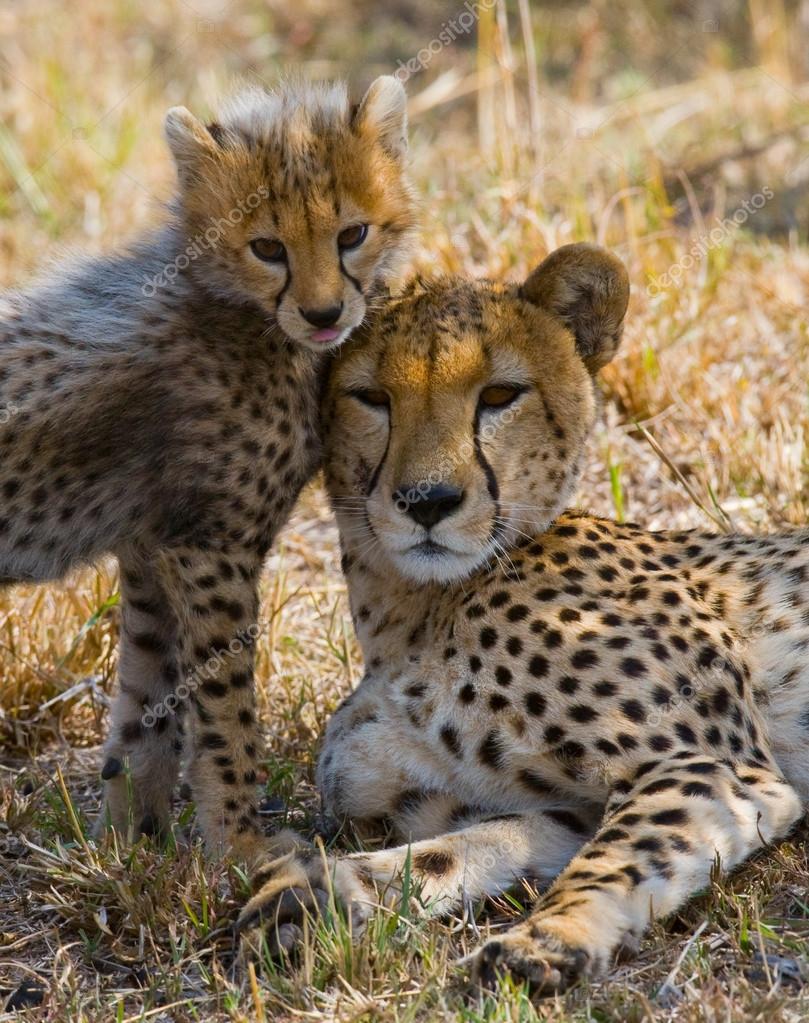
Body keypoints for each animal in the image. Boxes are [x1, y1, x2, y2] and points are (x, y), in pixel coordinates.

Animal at [0, 75, 416, 871]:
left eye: (352, 234)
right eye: (267, 247)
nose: (324, 313)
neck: (239, 311)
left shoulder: (149, 550)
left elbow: (146, 704)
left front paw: (133, 843)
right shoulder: (210, 549)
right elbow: (225, 706)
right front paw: (242, 843)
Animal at [239, 242, 808, 994]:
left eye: (499, 396)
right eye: (371, 398)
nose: (427, 500)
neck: (413, 613)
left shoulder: (718, 766)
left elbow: (616, 857)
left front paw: (548, 937)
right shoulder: (554, 806)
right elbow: (469, 842)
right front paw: (325, 891)